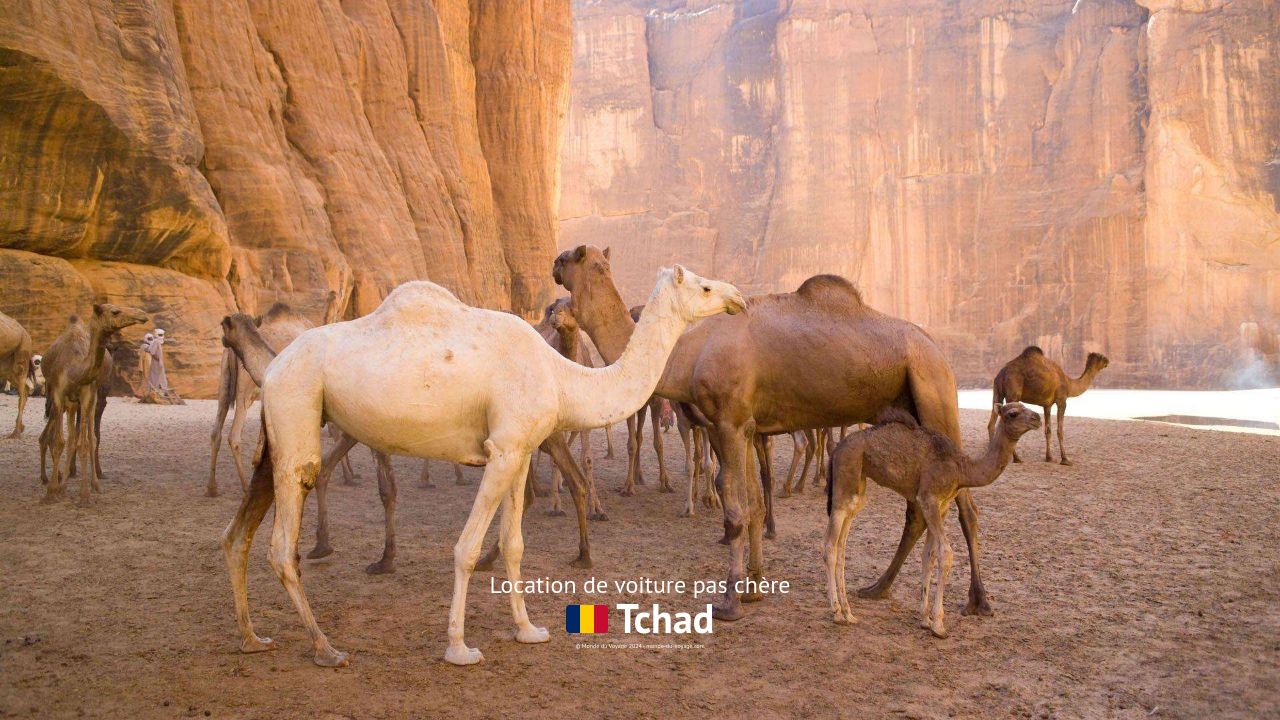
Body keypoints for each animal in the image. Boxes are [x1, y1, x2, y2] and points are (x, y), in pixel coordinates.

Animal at [0, 310, 34, 438]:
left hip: (21, 360)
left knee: (23, 392)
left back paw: (16, 432)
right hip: (7, 369)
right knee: (26, 389)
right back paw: (20, 428)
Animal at [39, 304, 146, 502]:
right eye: (115, 311)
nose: (142, 315)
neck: (74, 369)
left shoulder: (89, 395)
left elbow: (86, 441)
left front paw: (84, 494)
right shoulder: (58, 394)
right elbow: (59, 442)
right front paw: (52, 491)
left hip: (81, 402)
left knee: (84, 438)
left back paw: (84, 483)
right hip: (66, 402)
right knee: (61, 437)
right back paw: (58, 481)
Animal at [218, 266, 742, 666]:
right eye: (703, 287)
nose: (738, 297)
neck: (561, 375)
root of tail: (274, 365)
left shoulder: (521, 449)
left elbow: (514, 545)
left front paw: (528, 630)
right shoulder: (503, 449)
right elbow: (467, 547)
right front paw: (458, 647)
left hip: (278, 429)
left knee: (235, 534)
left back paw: (251, 638)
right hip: (296, 410)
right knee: (281, 543)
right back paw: (326, 648)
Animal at [555, 244, 983, 617]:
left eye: (575, 256)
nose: (555, 264)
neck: (688, 354)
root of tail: (938, 351)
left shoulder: (727, 422)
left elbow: (734, 509)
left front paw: (729, 602)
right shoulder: (744, 427)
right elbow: (756, 505)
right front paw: (754, 586)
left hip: (935, 394)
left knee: (965, 504)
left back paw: (977, 601)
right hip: (909, 415)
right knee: (917, 509)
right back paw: (878, 587)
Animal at [829, 399, 1039, 635]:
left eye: (1025, 406)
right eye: (1012, 413)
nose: (1037, 418)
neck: (961, 469)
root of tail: (837, 449)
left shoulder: (942, 506)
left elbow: (927, 556)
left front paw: (925, 619)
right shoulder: (928, 498)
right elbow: (945, 553)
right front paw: (938, 624)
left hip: (857, 485)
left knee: (842, 543)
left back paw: (848, 613)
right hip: (845, 477)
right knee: (830, 544)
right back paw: (837, 613)